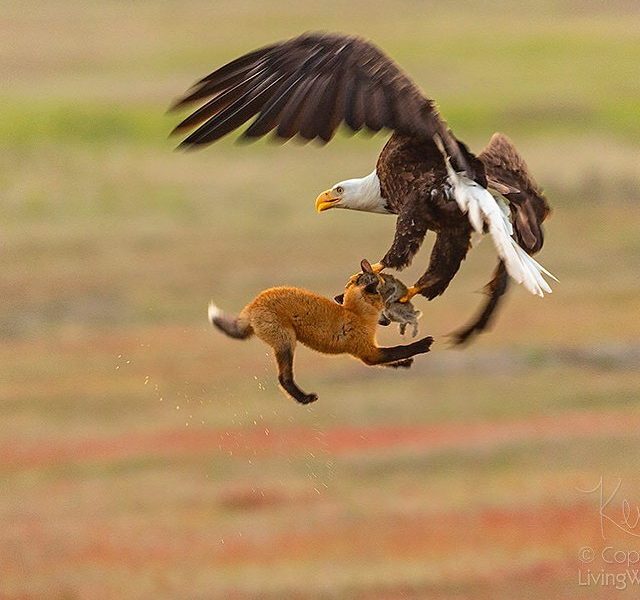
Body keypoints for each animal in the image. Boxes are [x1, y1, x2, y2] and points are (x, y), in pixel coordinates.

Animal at [208, 260, 434, 404]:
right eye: (384, 297)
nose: (386, 320)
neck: (355, 313)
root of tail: (253, 303)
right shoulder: (366, 351)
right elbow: (399, 349)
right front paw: (423, 344)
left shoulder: (368, 352)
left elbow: (390, 359)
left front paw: (404, 364)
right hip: (286, 342)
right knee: (283, 378)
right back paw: (304, 399)